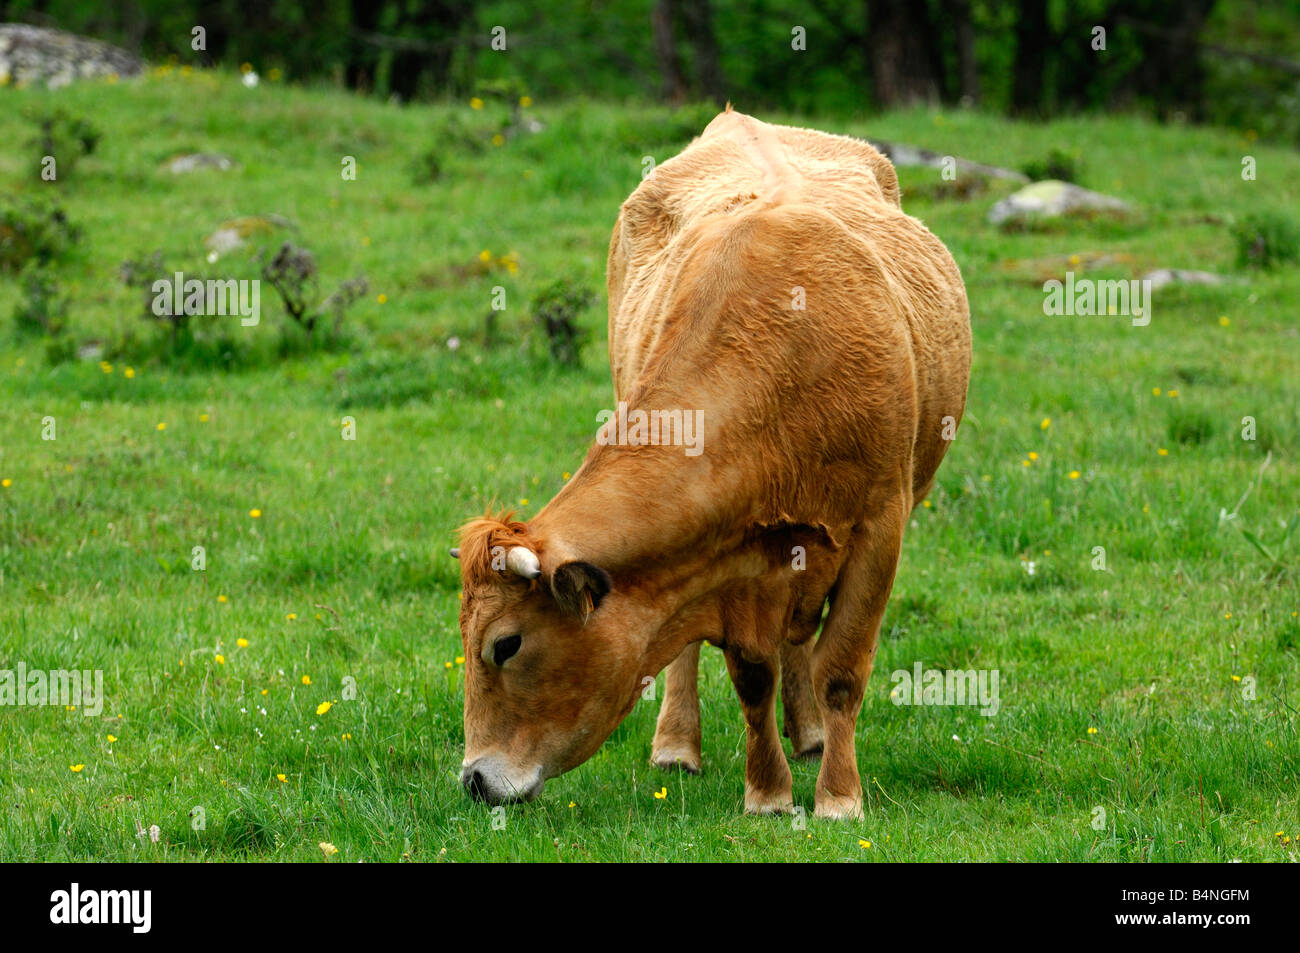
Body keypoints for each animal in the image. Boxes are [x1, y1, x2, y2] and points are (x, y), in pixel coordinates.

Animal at [452, 107, 971, 818]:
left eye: (505, 644)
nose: (474, 778)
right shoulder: (730, 572)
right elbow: (751, 675)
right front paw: (768, 794)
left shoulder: (878, 526)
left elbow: (840, 671)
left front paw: (838, 798)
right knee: (694, 656)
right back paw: (678, 743)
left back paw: (812, 734)